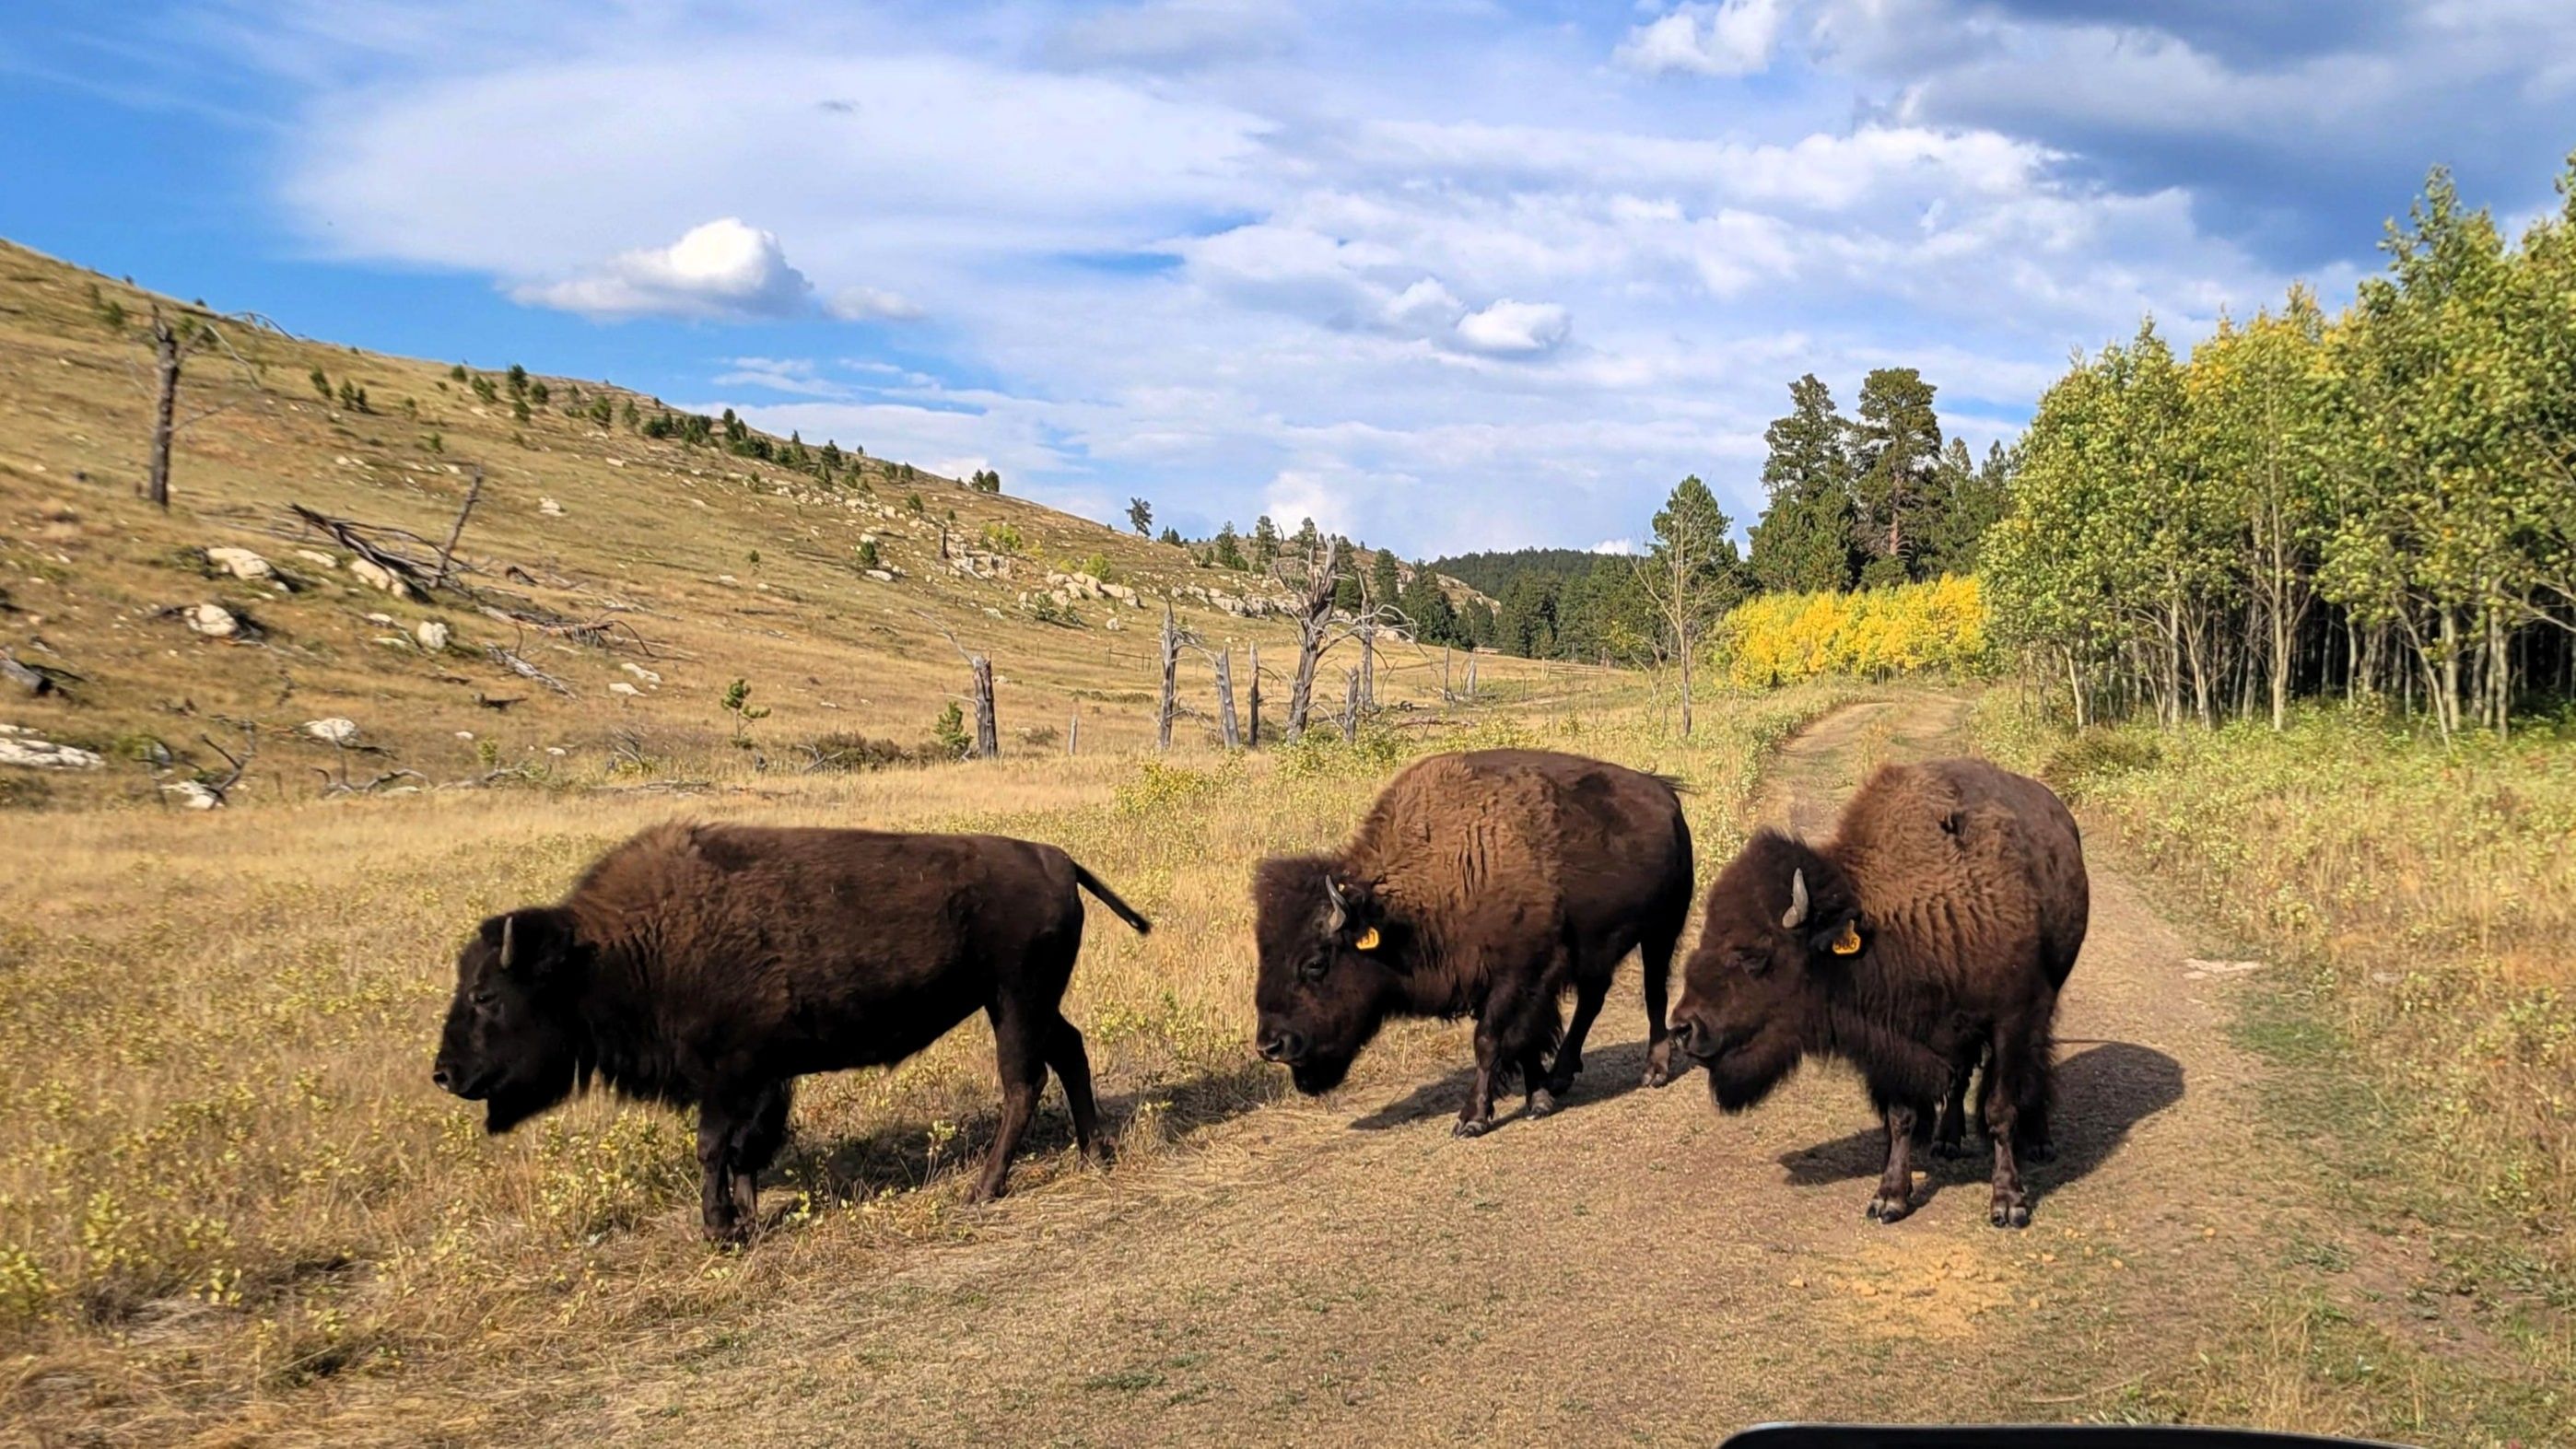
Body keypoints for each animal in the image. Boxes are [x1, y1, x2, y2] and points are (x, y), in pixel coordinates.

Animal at [432, 822, 1150, 1240]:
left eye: (486, 995)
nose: (444, 1072)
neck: (618, 950)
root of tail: (1059, 860)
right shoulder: (759, 1080)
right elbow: (745, 1149)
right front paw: (746, 1217)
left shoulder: (730, 1077)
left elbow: (714, 1147)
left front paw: (721, 1230)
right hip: (1022, 1003)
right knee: (1068, 1052)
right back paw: (1093, 1154)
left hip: (1015, 1001)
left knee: (1022, 1083)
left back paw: (983, 1188)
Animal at [1253, 749, 1695, 1135]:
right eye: (1264, 955)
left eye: (1315, 963)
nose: (1271, 1045)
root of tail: (1666, 795)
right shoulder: (1503, 981)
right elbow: (1523, 1040)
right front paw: (1539, 1097)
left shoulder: (1521, 976)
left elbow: (1491, 1040)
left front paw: (1472, 1119)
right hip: (1600, 950)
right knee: (1593, 1000)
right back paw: (1563, 1074)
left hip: (1662, 929)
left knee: (1654, 990)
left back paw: (1654, 1070)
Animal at [1667, 758, 2086, 1228]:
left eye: (1754, 954)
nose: (1683, 1028)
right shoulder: (1898, 1040)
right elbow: (1902, 1115)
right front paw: (1890, 1198)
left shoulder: (2012, 1019)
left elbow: (2001, 1109)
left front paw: (2009, 1202)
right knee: (1962, 1073)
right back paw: (1947, 1140)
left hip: (2045, 997)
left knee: (2038, 1061)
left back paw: (2039, 1141)